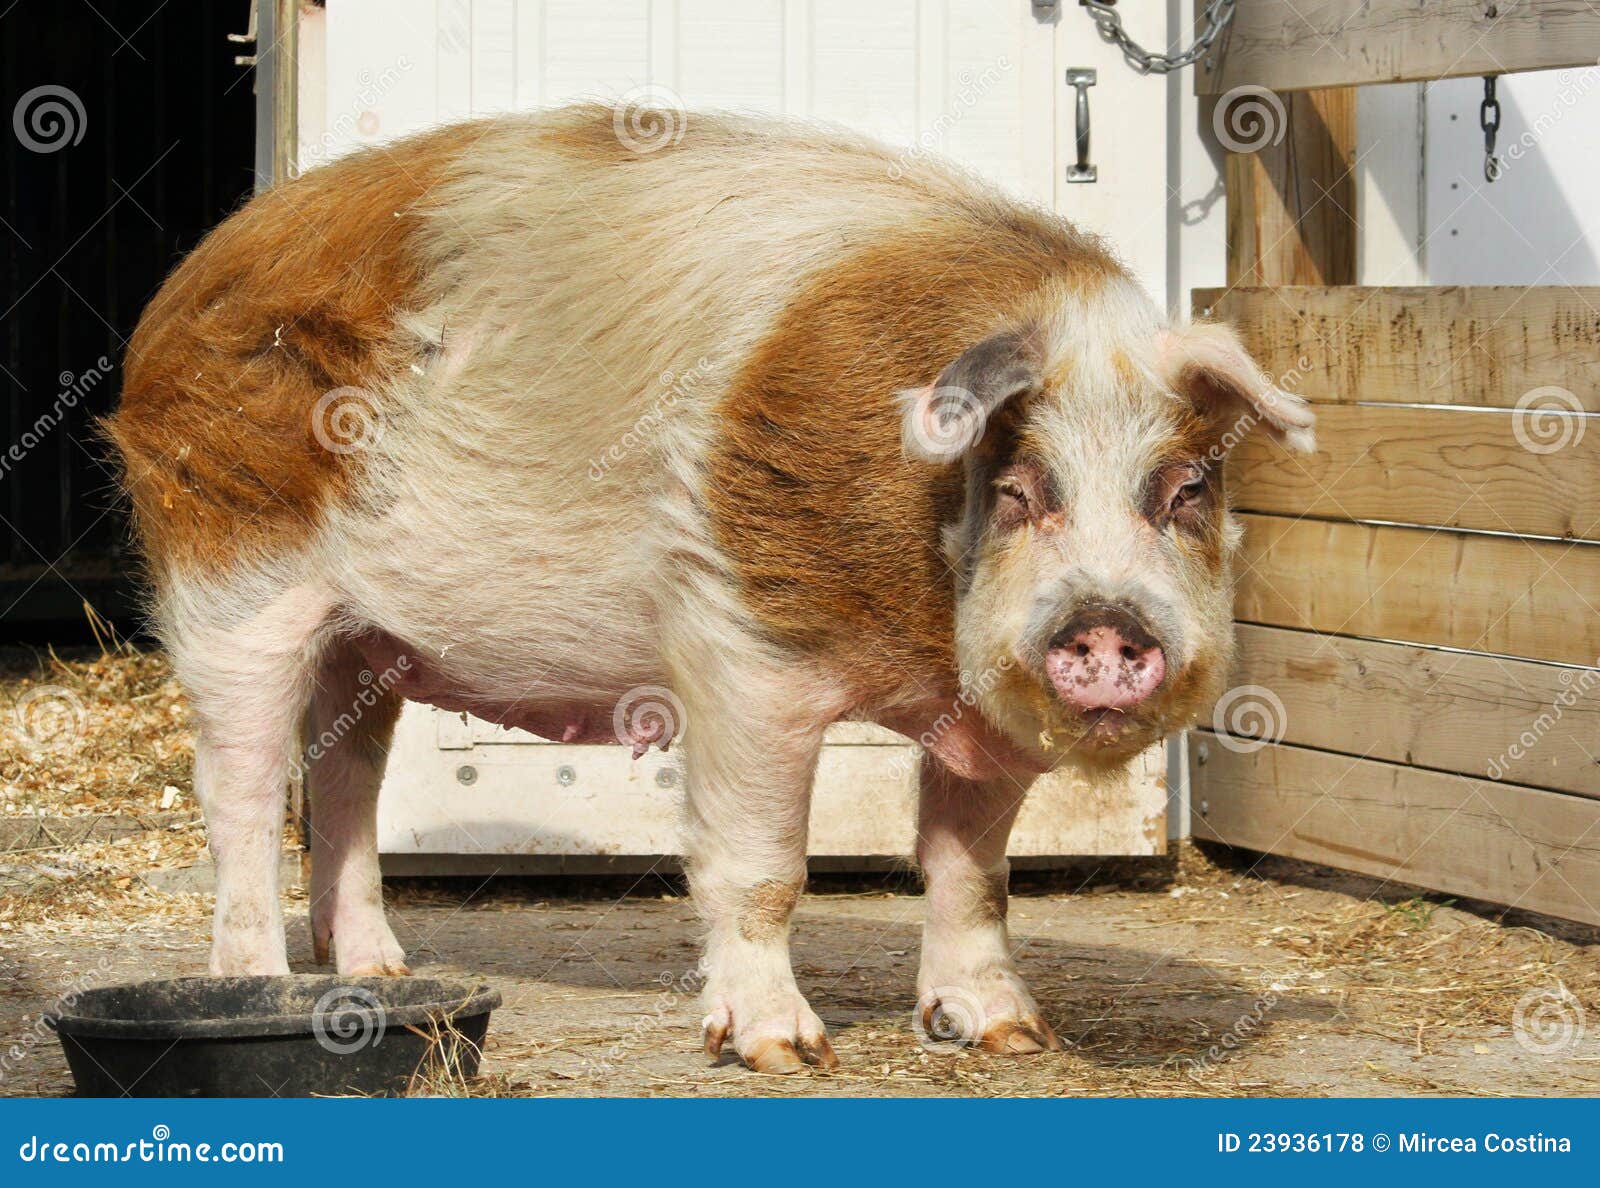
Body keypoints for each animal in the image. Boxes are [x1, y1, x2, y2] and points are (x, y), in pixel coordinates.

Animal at [108, 104, 1313, 1074]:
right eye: (1020, 490)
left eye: (1186, 489)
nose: (1104, 623)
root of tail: (187, 280)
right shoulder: (741, 643)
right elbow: (762, 863)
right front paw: (781, 1052)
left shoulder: (985, 708)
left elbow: (971, 871)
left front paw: (1010, 1036)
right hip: (228, 576)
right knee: (241, 794)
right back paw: (252, 987)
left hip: (363, 638)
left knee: (345, 779)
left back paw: (381, 975)